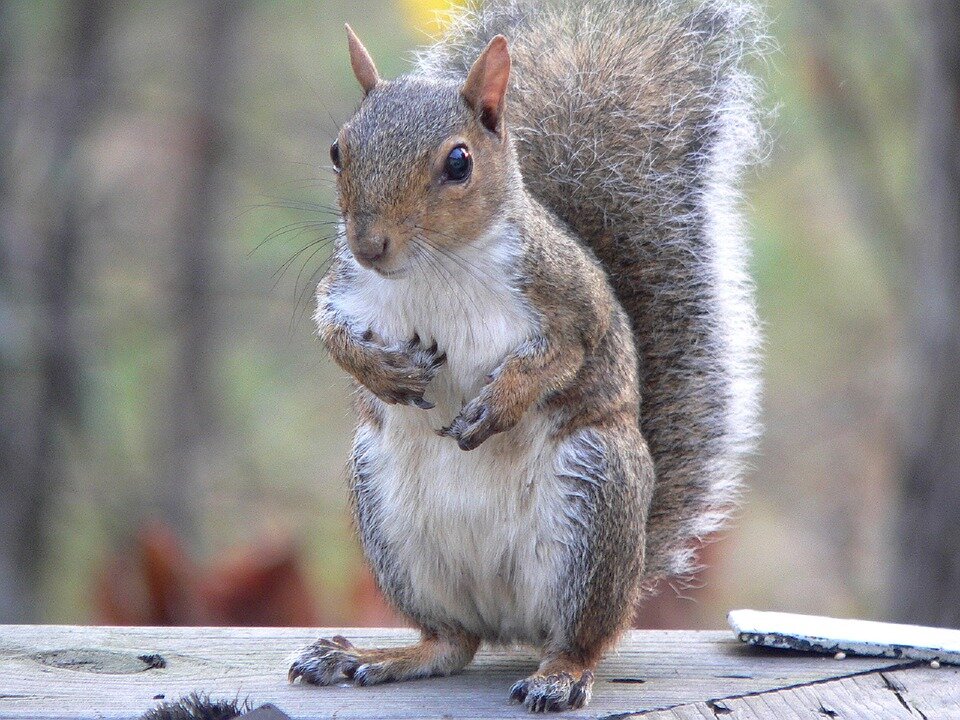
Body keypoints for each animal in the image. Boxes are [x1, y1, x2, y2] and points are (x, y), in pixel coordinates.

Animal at [288, 0, 762, 712]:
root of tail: (508, 619)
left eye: (459, 163)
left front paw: (498, 405)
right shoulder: (347, 288)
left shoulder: (570, 298)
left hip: (595, 501)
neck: (438, 268)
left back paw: (559, 676)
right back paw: (377, 656)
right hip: (389, 517)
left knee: (582, 638)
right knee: (449, 643)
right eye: (339, 150)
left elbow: (565, 356)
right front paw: (384, 372)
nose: (371, 244)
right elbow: (331, 334)